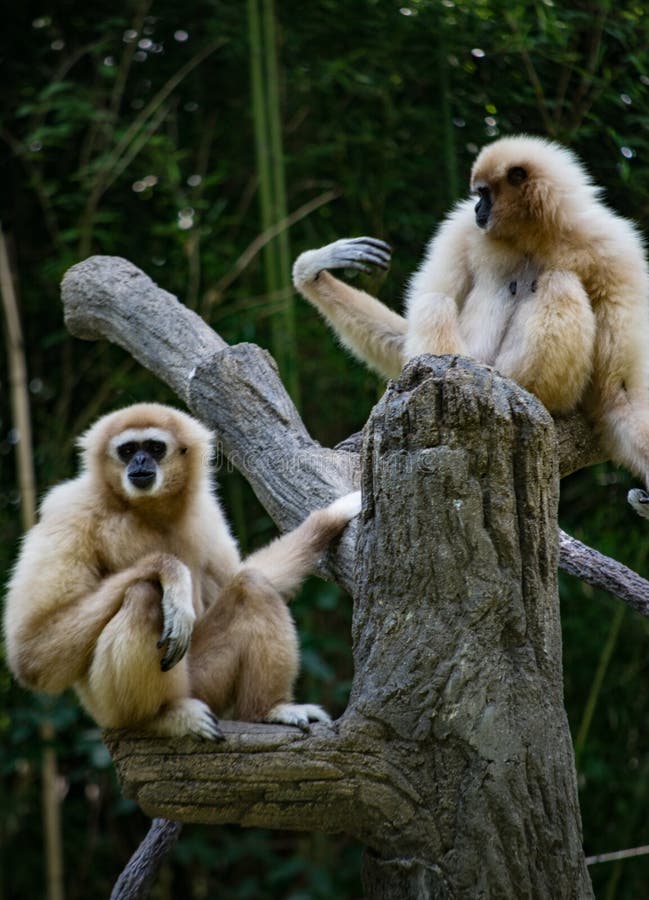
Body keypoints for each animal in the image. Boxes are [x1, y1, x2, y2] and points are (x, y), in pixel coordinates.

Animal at [3, 403, 361, 739]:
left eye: (155, 447)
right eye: (128, 450)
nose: (140, 463)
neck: (143, 509)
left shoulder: (207, 509)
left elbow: (246, 574)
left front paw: (331, 517)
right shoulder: (70, 510)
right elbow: (33, 647)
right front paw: (171, 575)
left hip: (203, 682)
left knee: (252, 586)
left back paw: (267, 710)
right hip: (109, 709)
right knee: (145, 595)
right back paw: (160, 717)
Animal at [292, 135, 649, 509]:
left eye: (484, 193)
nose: (478, 208)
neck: (535, 233)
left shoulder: (617, 251)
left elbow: (619, 391)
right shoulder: (459, 228)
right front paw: (313, 270)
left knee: (559, 281)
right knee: (438, 303)